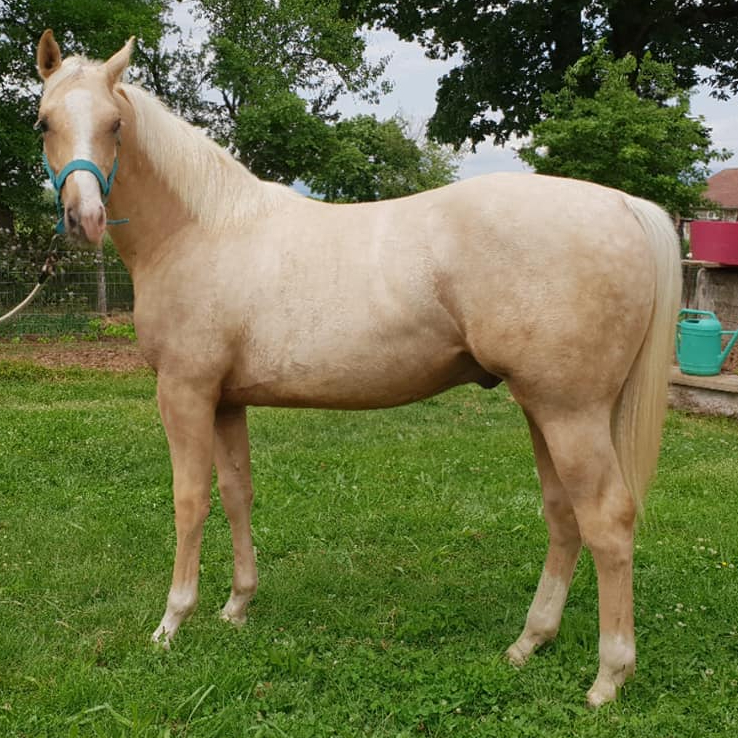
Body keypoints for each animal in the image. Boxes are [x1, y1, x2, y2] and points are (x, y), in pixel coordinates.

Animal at [34, 30, 681, 706]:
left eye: (114, 125)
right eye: (44, 121)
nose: (84, 218)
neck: (201, 229)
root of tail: (625, 207)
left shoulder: (184, 392)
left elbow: (191, 500)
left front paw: (171, 623)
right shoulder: (226, 400)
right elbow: (238, 493)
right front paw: (236, 607)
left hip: (570, 414)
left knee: (607, 520)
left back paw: (608, 677)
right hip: (542, 408)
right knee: (564, 516)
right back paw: (529, 643)